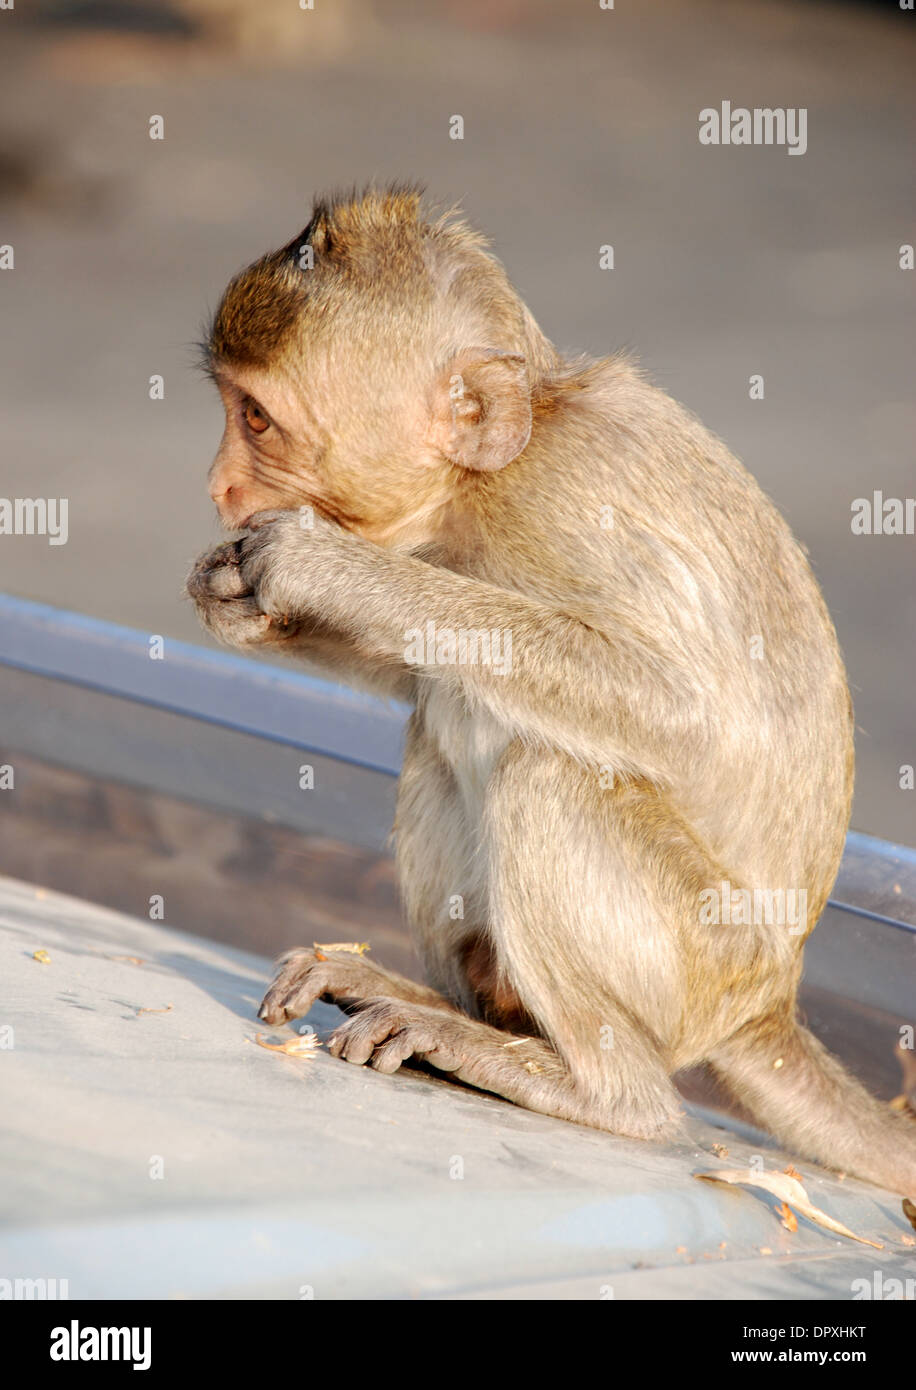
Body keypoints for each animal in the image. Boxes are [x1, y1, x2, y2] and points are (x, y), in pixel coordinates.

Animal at [187, 184, 916, 1197]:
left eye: (255, 419)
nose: (218, 488)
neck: (483, 482)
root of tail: (766, 1005)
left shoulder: (564, 507)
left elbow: (682, 711)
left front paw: (318, 567)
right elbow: (417, 665)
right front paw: (244, 604)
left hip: (698, 964)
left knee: (548, 769)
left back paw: (600, 1092)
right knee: (442, 727)